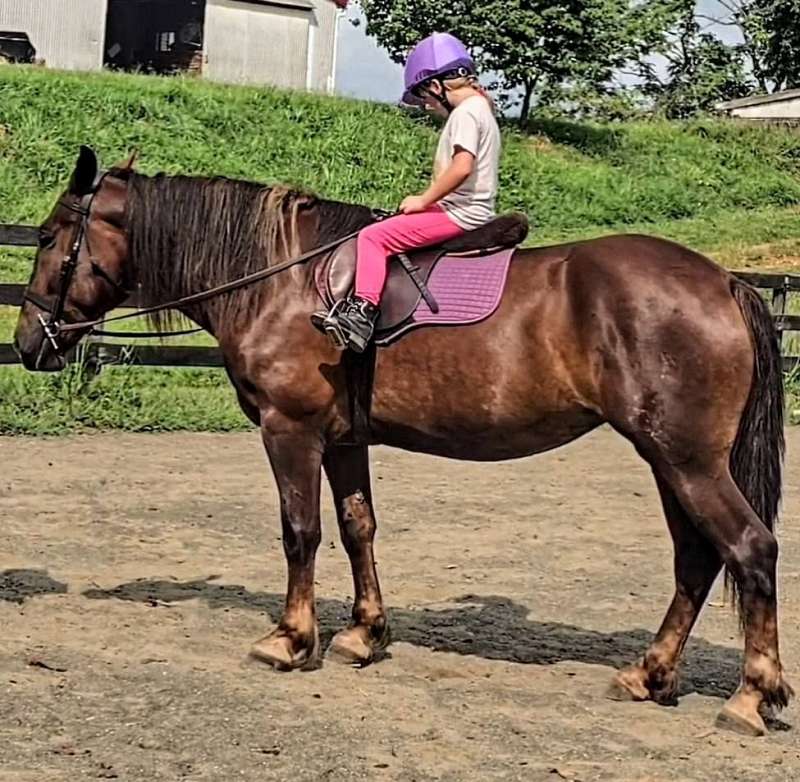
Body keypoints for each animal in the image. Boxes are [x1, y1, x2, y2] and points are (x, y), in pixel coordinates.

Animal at [13, 147, 793, 736]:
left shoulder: (290, 430)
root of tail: (726, 282)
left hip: (687, 461)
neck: (288, 283)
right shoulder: (341, 441)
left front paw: (291, 639)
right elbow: (357, 526)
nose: (27, 344)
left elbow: (300, 532)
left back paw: (751, 697)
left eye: (49, 236)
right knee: (696, 558)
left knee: (748, 548)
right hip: (668, 461)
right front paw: (363, 634)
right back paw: (648, 674)